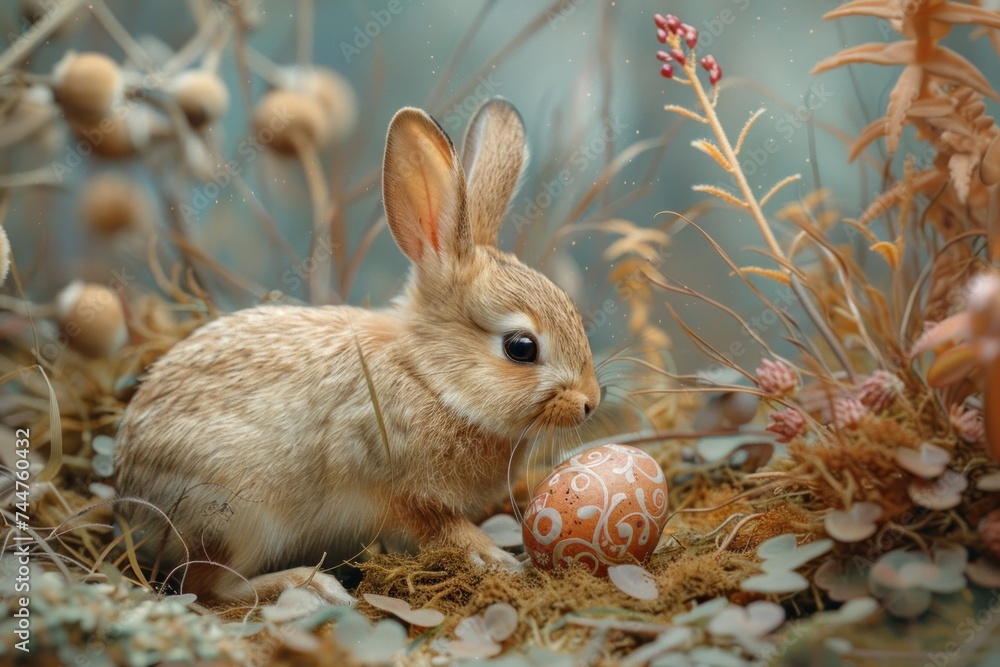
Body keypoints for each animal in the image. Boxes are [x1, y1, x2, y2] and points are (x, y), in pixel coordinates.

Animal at [114, 97, 601, 606]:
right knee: (209, 588)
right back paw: (312, 585)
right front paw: (501, 561)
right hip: (240, 516)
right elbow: (450, 531)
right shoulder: (404, 495)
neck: (429, 378)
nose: (591, 402)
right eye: (521, 347)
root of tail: (131, 502)